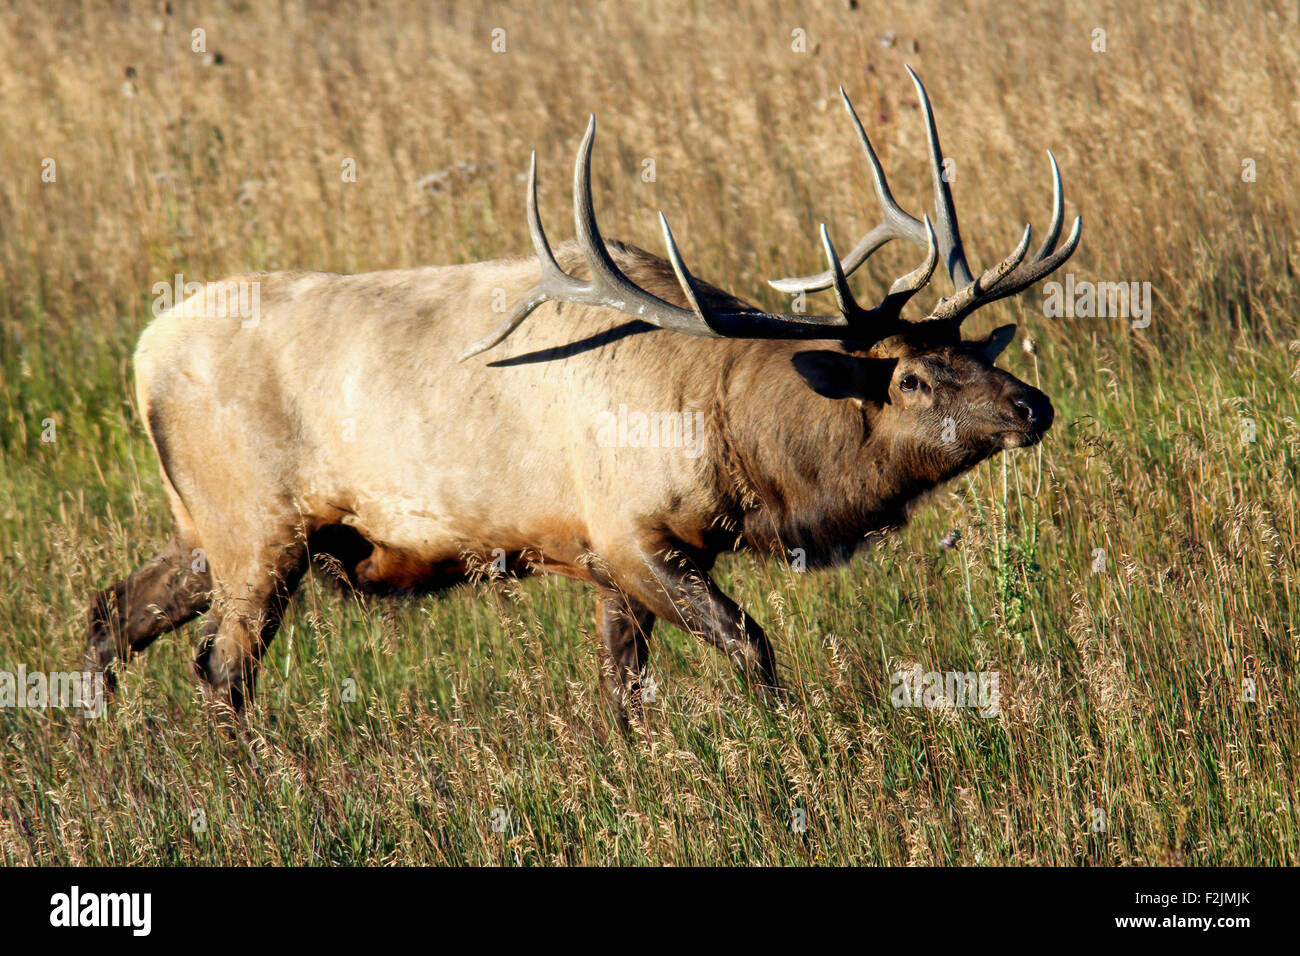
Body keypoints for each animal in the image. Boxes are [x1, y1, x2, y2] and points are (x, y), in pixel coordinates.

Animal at [85, 67, 1080, 730]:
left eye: (967, 351)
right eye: (911, 378)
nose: (1032, 407)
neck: (725, 424)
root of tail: (140, 355)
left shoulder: (606, 562)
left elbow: (622, 693)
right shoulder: (633, 532)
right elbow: (751, 649)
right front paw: (793, 745)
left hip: (208, 528)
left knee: (111, 611)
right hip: (258, 527)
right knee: (221, 669)